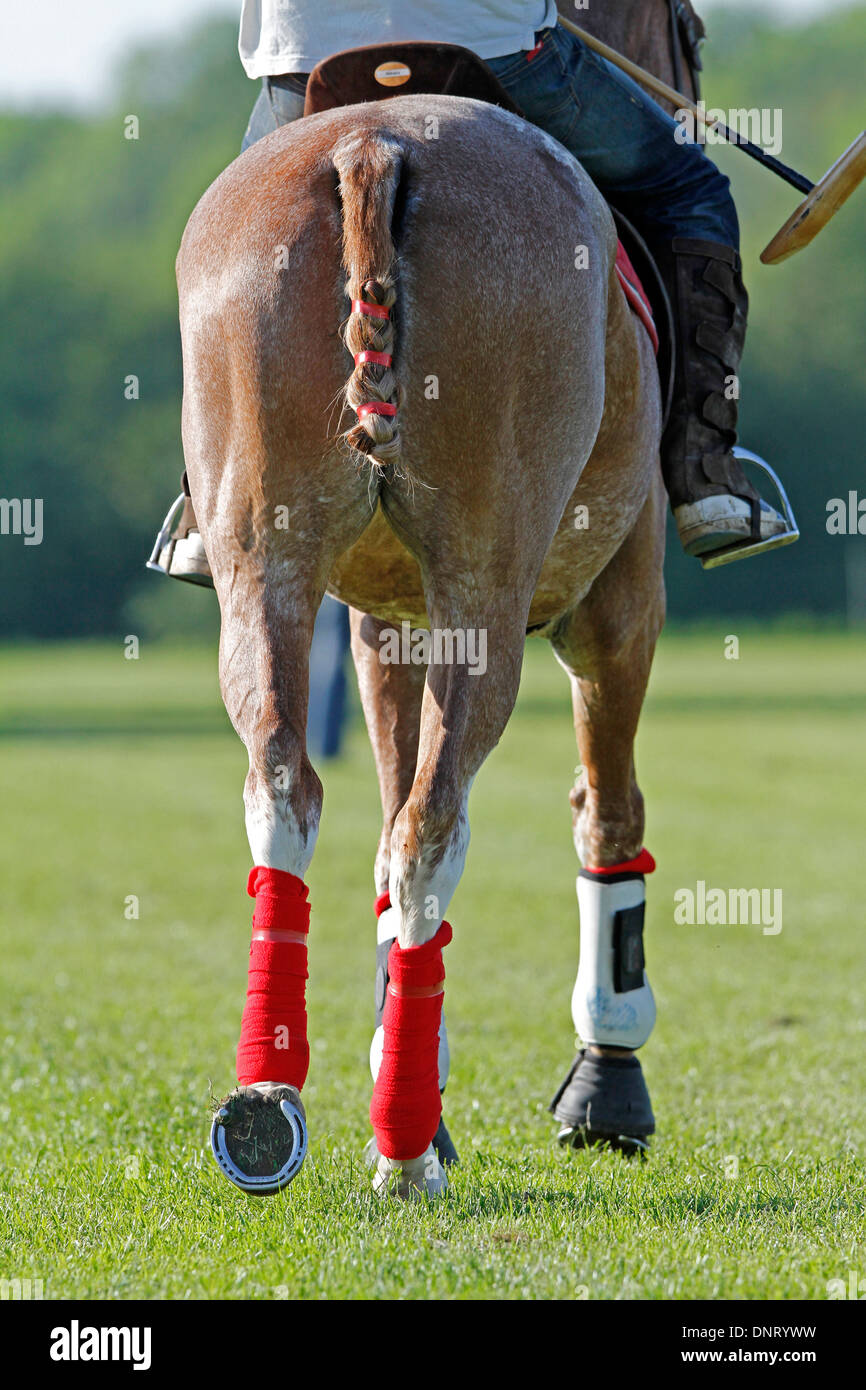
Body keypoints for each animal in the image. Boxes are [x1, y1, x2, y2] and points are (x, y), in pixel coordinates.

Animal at [185, 3, 695, 1198]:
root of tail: (370, 145)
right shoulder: (620, 600)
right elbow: (609, 810)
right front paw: (606, 1085)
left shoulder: (383, 622)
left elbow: (374, 818)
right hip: (487, 582)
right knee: (431, 827)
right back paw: (407, 1149)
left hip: (264, 563)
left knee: (287, 787)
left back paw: (272, 1103)